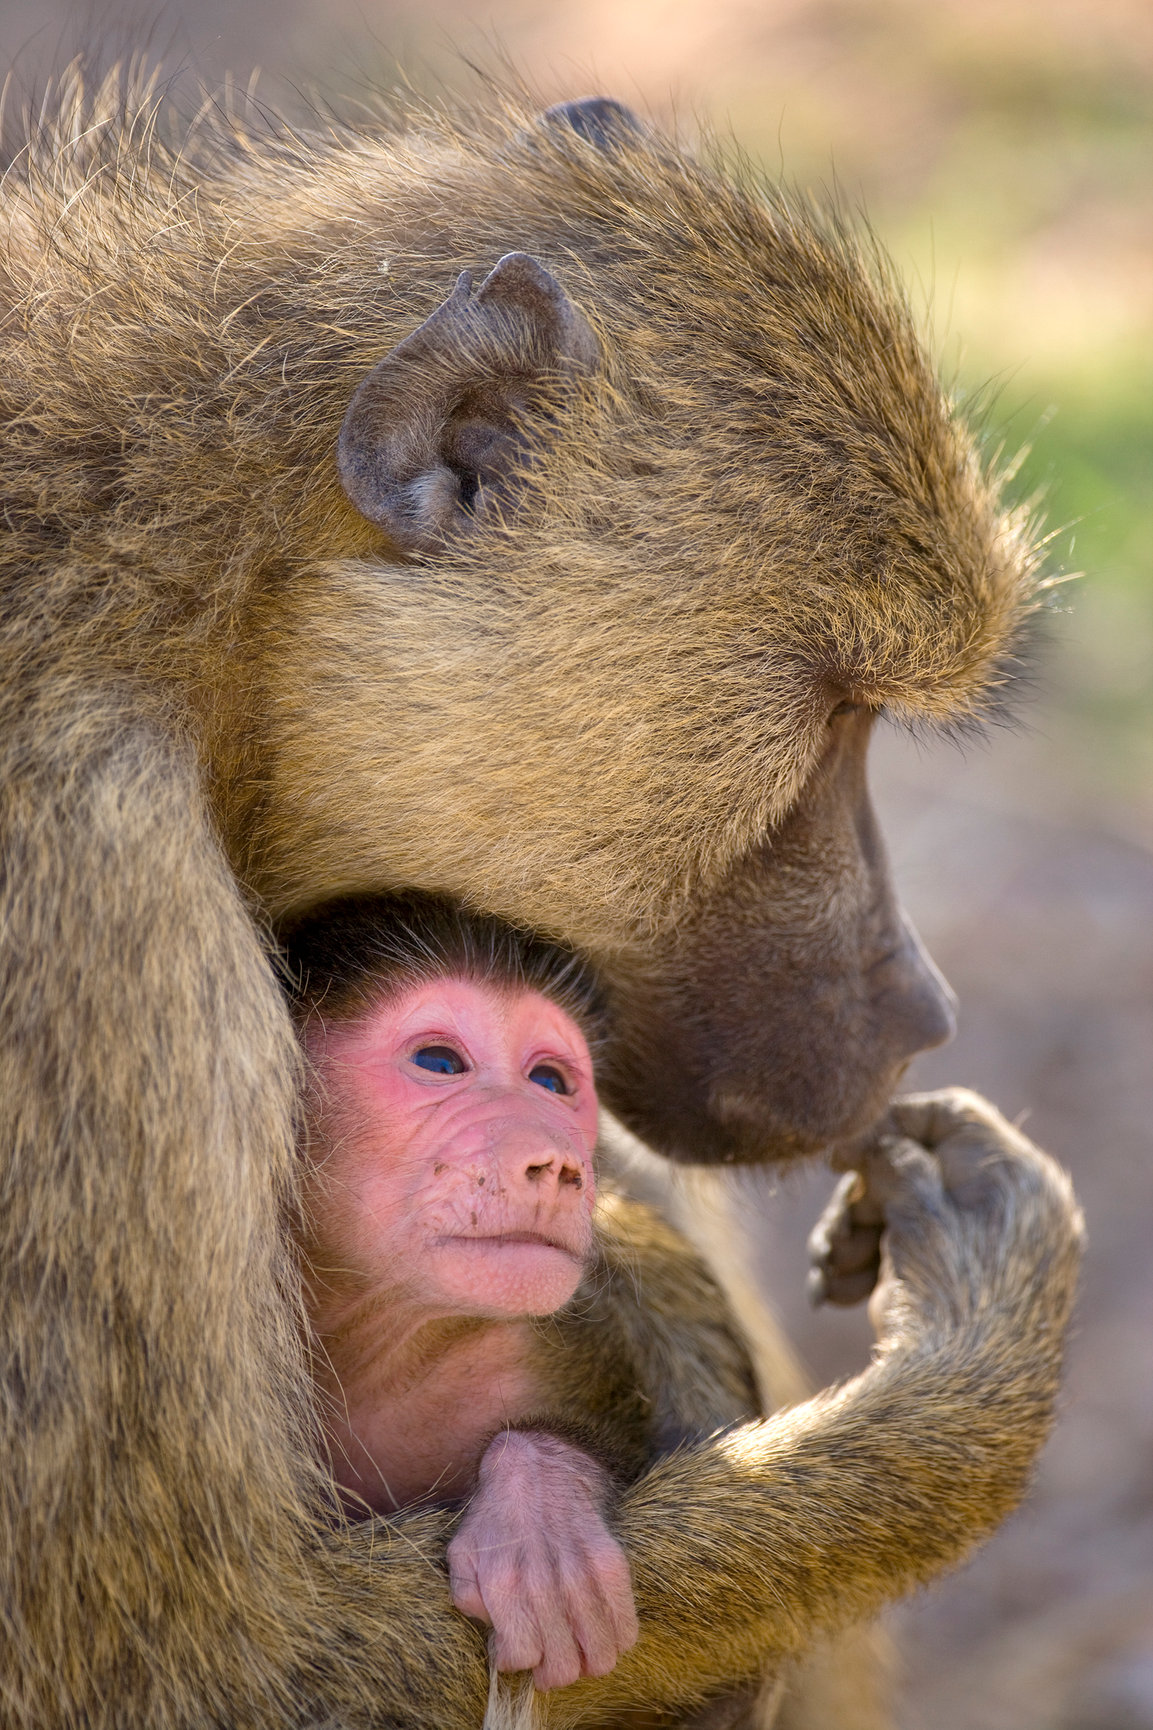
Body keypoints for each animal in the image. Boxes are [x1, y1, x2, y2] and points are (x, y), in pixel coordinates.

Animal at [0, 66, 1081, 1729]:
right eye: (832, 721)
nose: (922, 1004)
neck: (179, 597)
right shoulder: (89, 909)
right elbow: (192, 1670)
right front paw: (974, 1358)